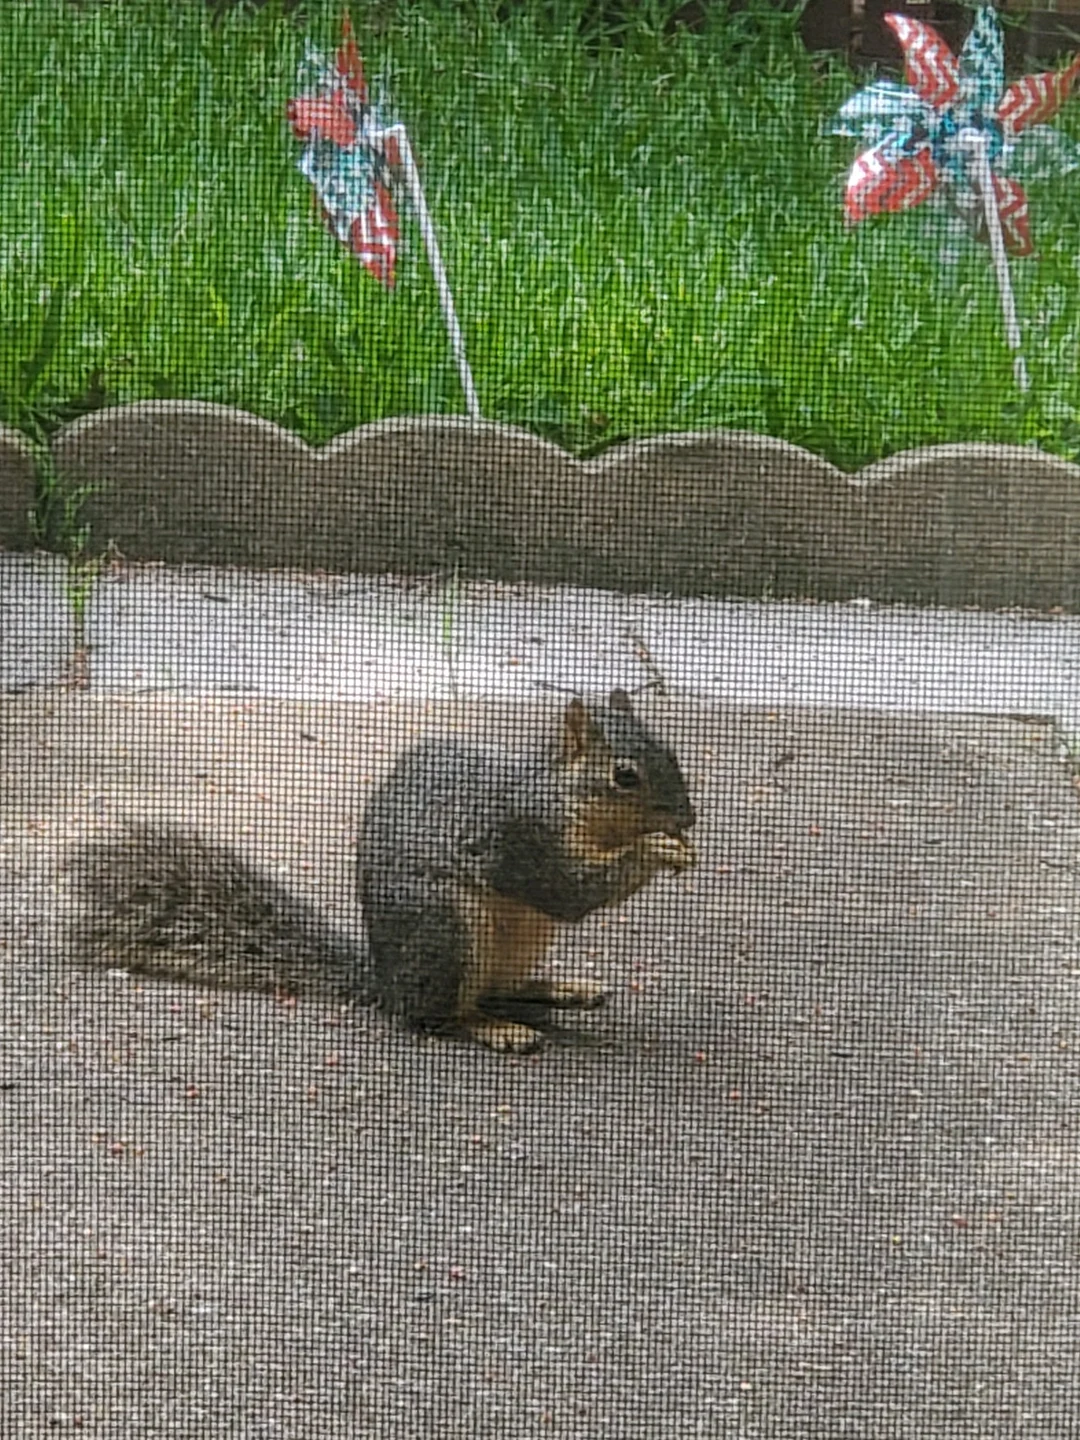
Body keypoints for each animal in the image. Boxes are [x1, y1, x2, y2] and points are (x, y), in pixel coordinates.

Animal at [67, 689, 696, 1052]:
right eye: (624, 775)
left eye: (671, 750)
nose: (689, 816)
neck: (562, 797)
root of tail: (385, 980)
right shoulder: (524, 840)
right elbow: (570, 890)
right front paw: (660, 850)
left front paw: (681, 846)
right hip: (448, 929)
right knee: (436, 1015)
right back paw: (495, 1028)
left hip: (516, 943)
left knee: (501, 986)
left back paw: (560, 987)